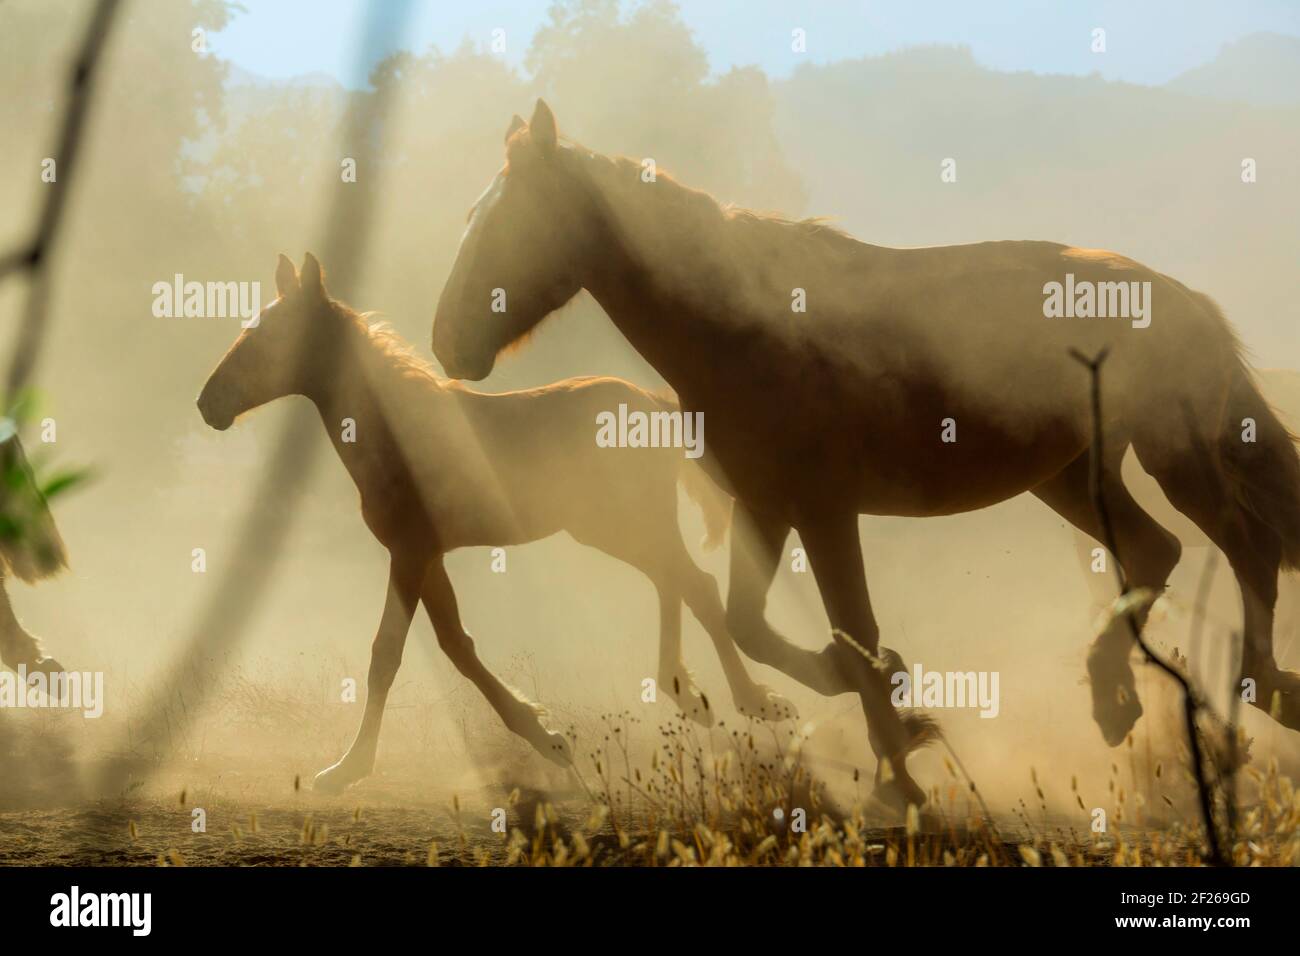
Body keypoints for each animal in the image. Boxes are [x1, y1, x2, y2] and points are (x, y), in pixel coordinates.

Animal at [197, 253, 793, 795]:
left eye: (273, 335)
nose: (208, 404)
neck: (396, 429)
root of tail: (655, 403)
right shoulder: (426, 554)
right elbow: (457, 645)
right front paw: (547, 736)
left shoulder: (410, 552)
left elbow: (387, 654)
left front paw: (345, 770)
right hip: (616, 527)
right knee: (674, 582)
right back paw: (689, 693)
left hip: (622, 523)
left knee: (696, 585)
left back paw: (753, 700)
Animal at [429, 100, 1300, 809]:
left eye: (508, 222)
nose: (445, 344)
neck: (740, 329)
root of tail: (1183, 298)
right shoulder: (766, 505)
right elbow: (755, 625)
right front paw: (889, 711)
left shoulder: (823, 509)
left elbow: (850, 626)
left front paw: (898, 763)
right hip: (1071, 477)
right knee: (1161, 551)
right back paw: (1116, 697)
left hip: (1173, 458)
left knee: (1244, 549)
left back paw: (1254, 686)